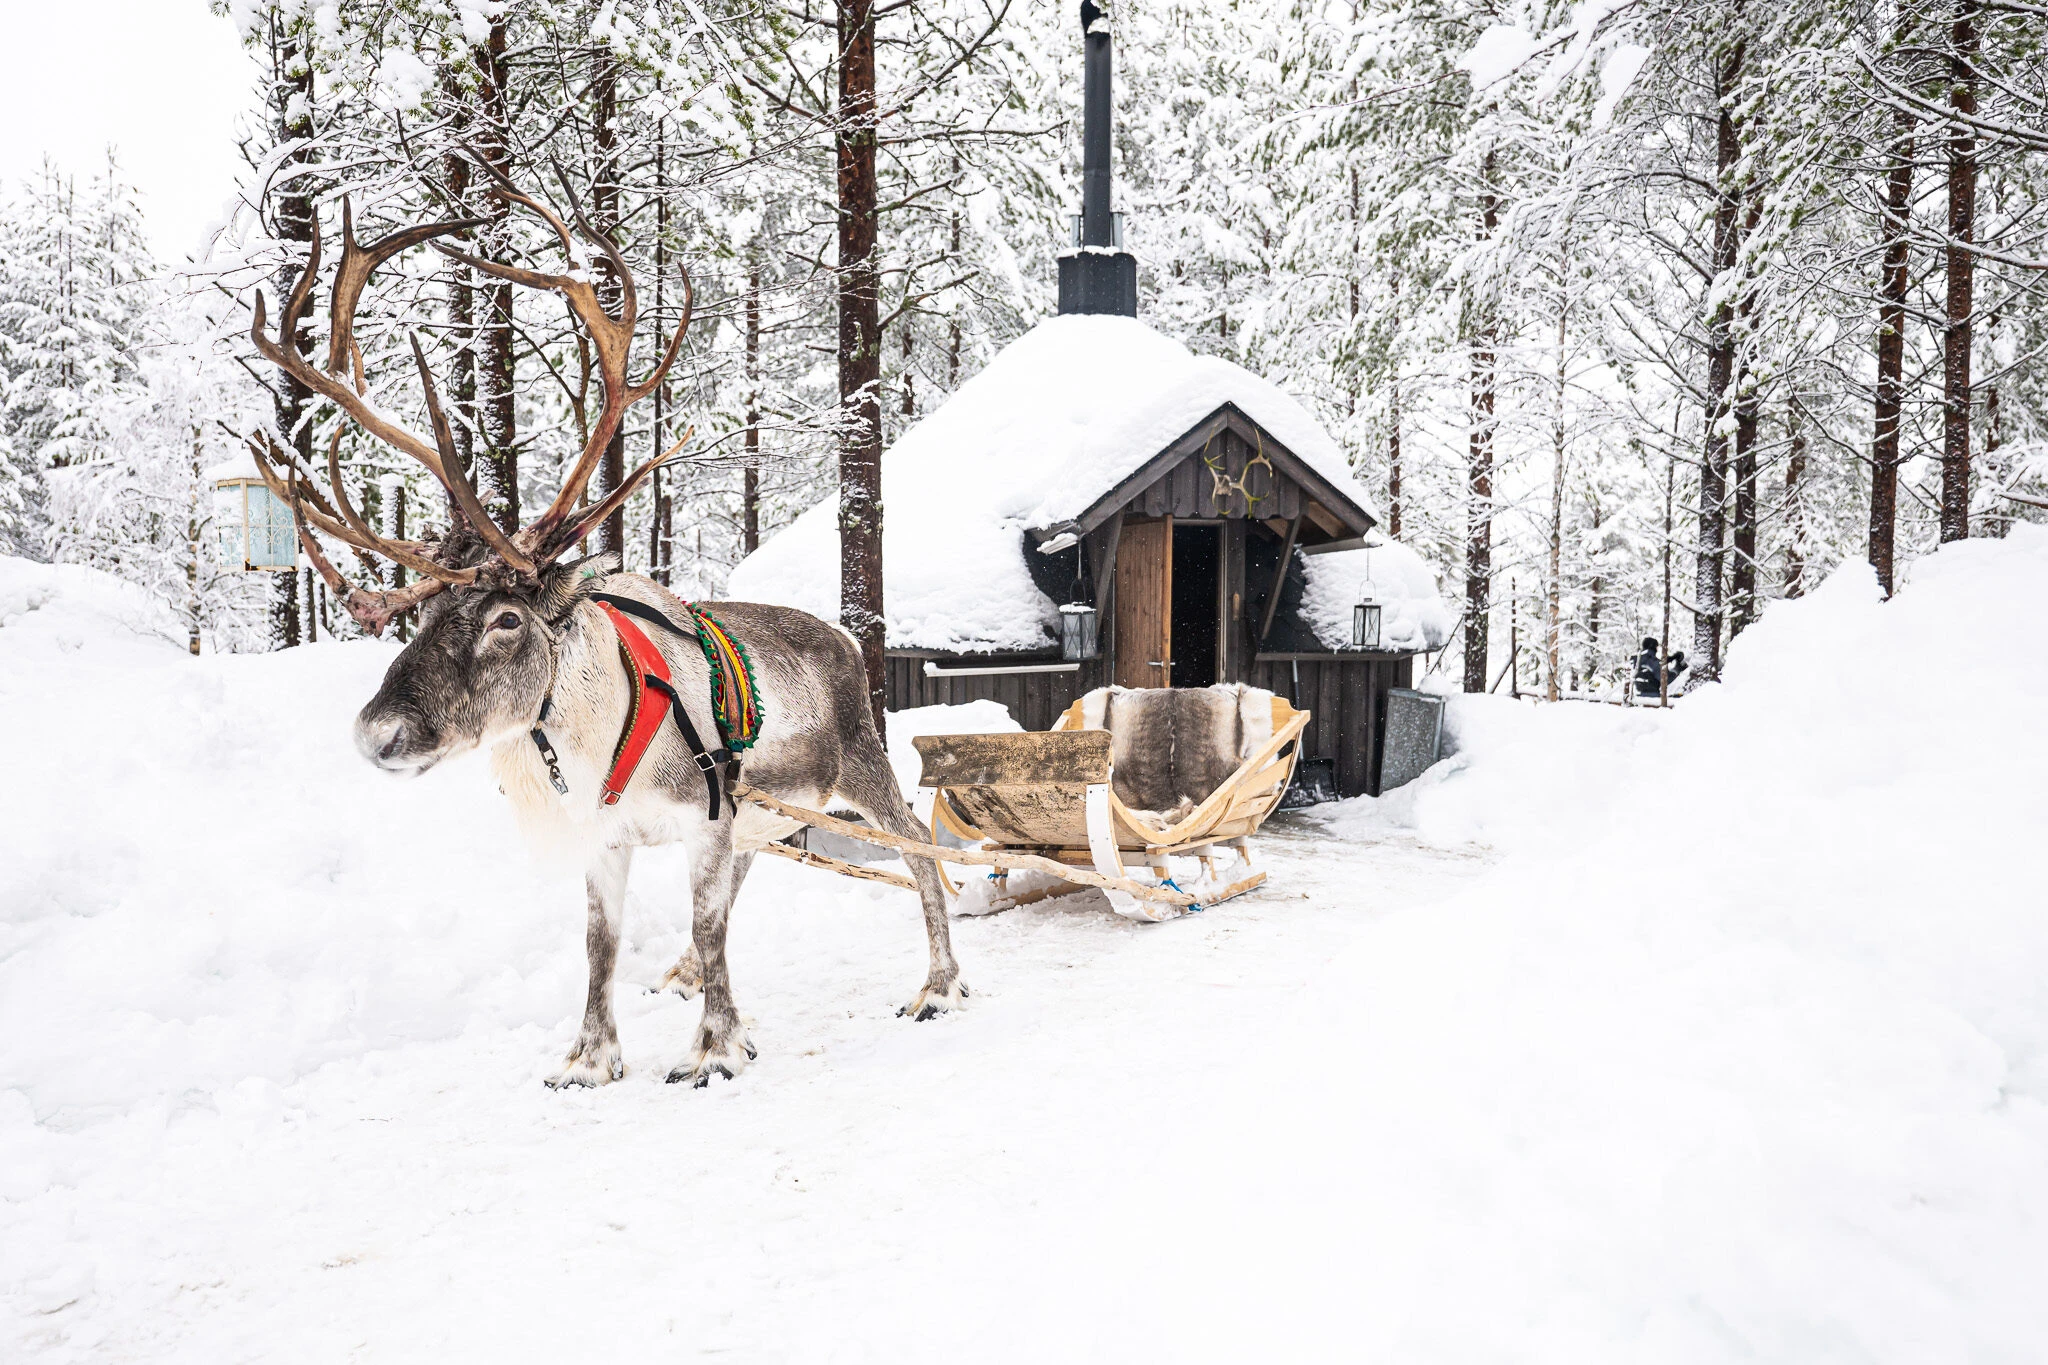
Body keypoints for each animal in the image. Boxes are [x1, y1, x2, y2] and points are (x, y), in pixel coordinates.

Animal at [243, 168, 967, 1089]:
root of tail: (841, 633)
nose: (378, 733)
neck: (595, 737)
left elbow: (706, 923)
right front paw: (588, 1059)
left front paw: (714, 1047)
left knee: (917, 843)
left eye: (506, 617)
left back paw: (939, 982)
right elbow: (601, 944)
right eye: (423, 613)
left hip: (862, 762)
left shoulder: (703, 816)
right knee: (760, 865)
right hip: (768, 805)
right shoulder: (607, 838)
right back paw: (690, 977)